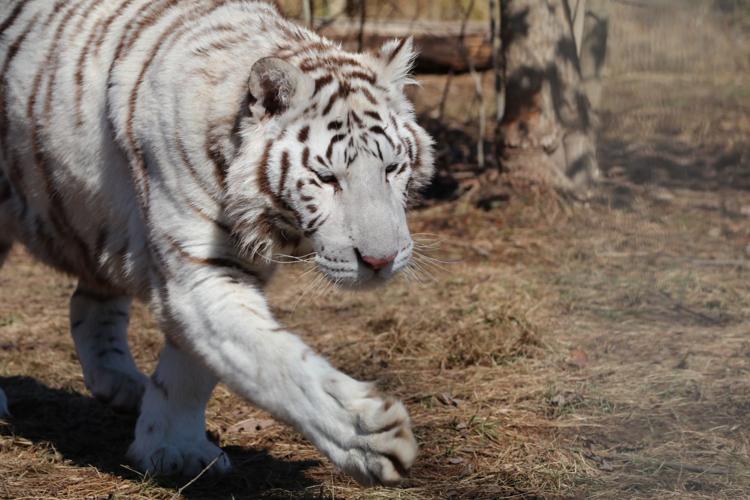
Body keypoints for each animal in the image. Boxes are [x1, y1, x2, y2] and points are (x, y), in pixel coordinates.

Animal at [0, 0, 434, 486]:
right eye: (326, 178)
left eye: (392, 168)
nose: (381, 260)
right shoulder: (198, 274)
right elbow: (271, 360)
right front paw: (369, 436)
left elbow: (196, 367)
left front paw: (173, 447)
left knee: (89, 304)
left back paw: (122, 385)